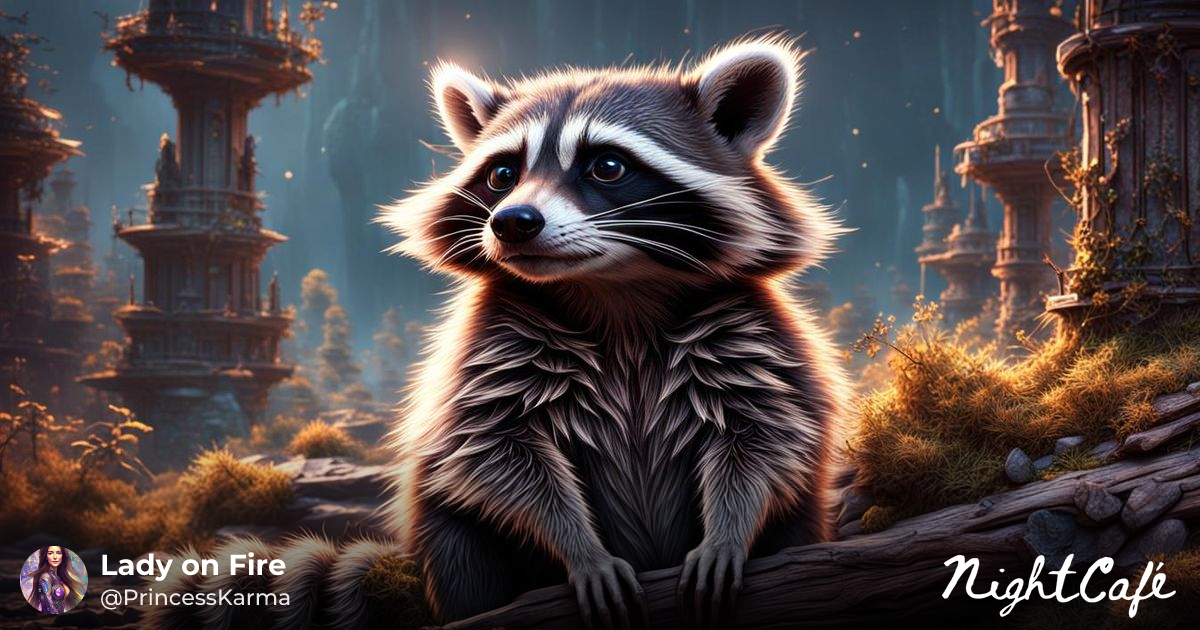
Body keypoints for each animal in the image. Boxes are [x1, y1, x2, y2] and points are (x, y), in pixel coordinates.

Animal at [376, 35, 851, 627]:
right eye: (503, 174)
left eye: (607, 166)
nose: (511, 222)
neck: (615, 287)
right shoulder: (493, 347)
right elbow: (493, 451)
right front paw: (582, 550)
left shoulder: (747, 330)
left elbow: (766, 435)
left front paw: (726, 534)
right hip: (448, 534)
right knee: (461, 552)